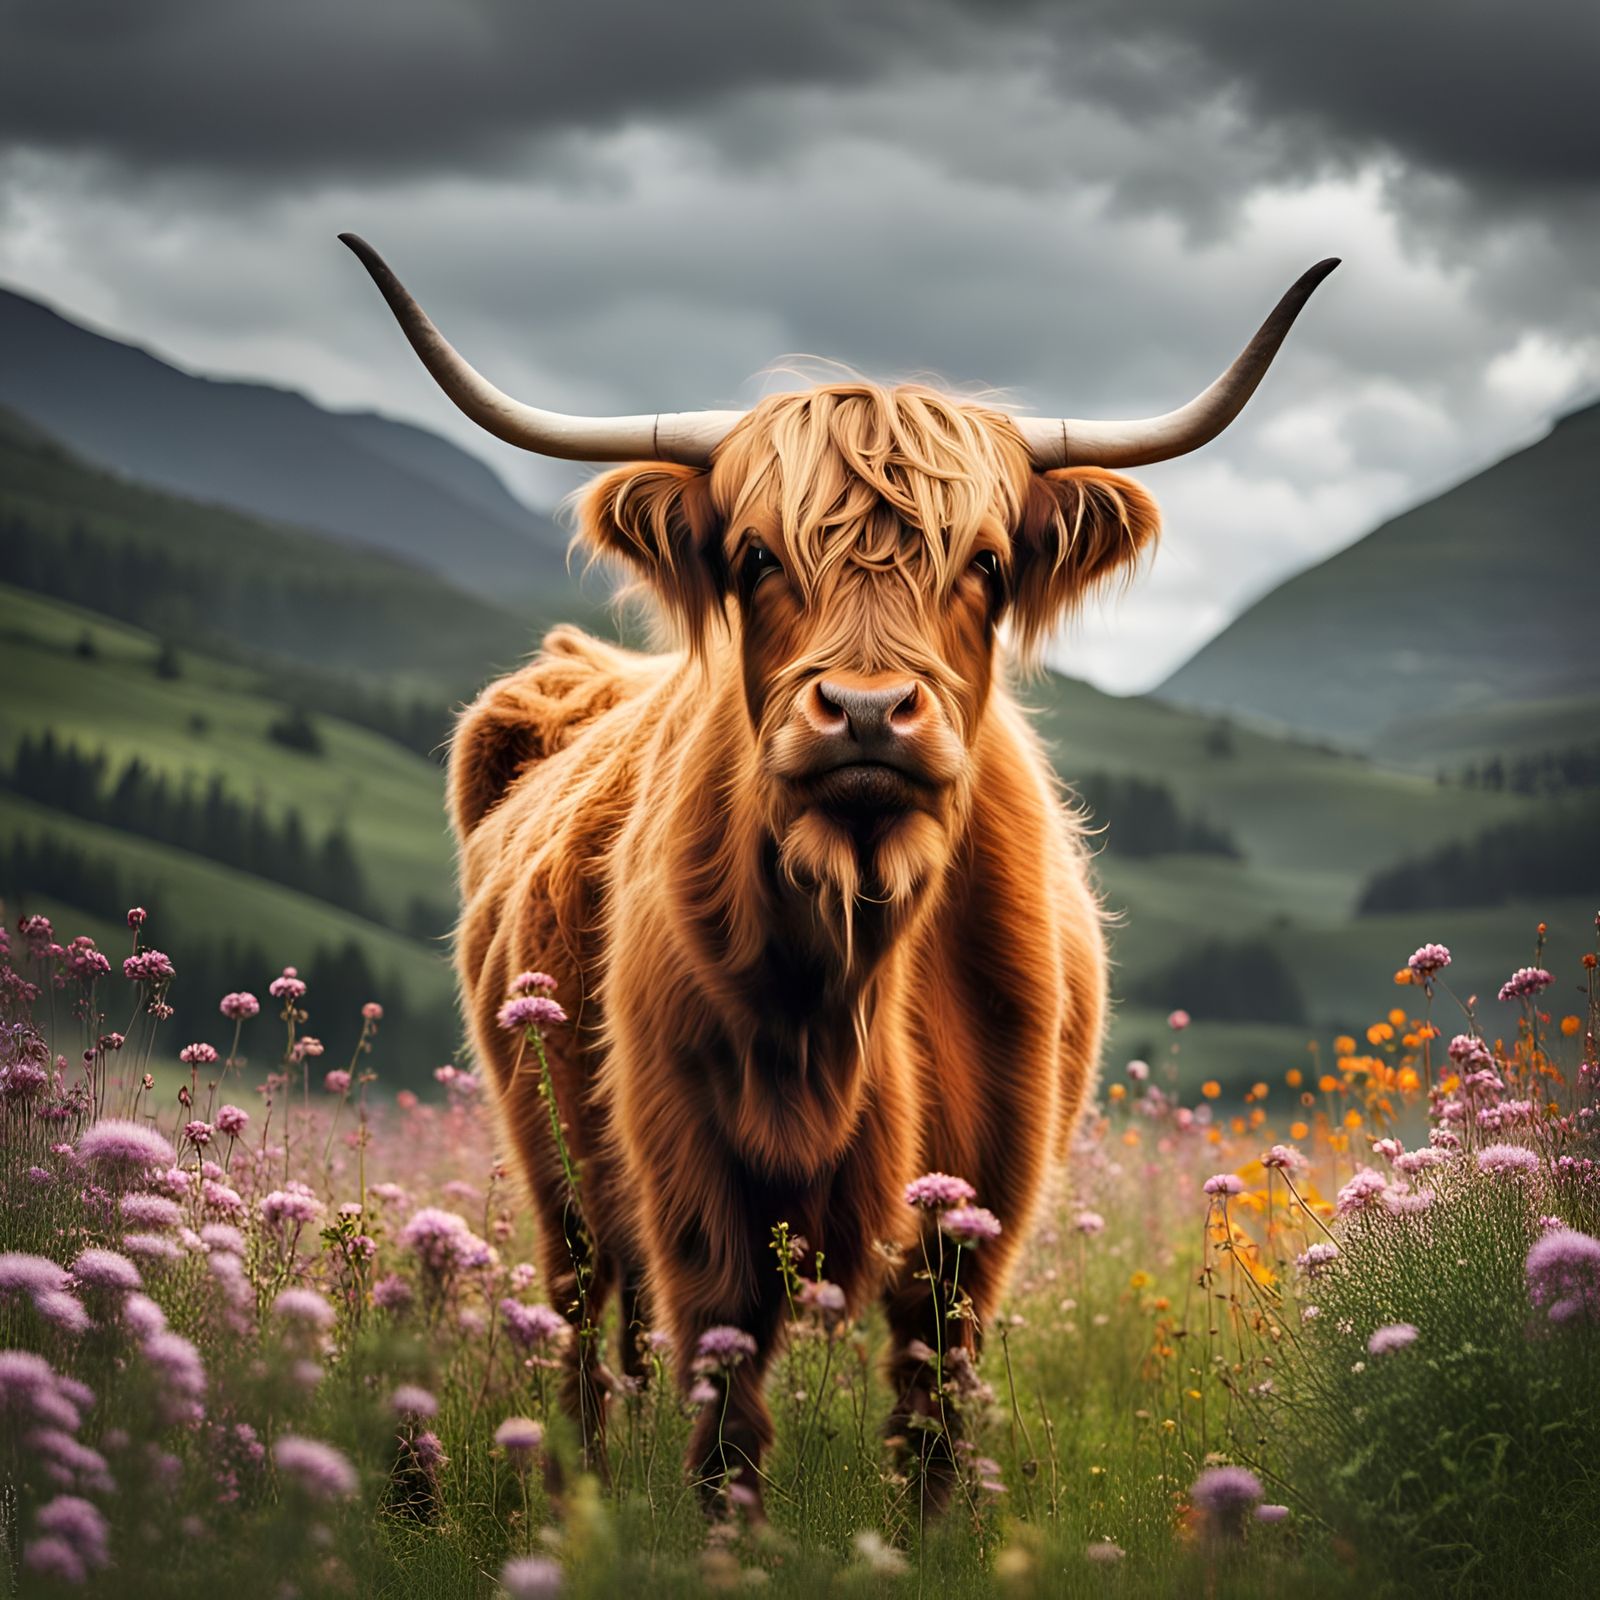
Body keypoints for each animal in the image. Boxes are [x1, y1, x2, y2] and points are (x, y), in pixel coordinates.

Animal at [342, 235, 1335, 1511]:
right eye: (757, 555)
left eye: (987, 561)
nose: (866, 711)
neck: (851, 959)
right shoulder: (695, 1187)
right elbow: (727, 1423)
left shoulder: (979, 1204)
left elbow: (930, 1421)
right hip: (556, 1159)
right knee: (580, 1328)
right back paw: (579, 1485)